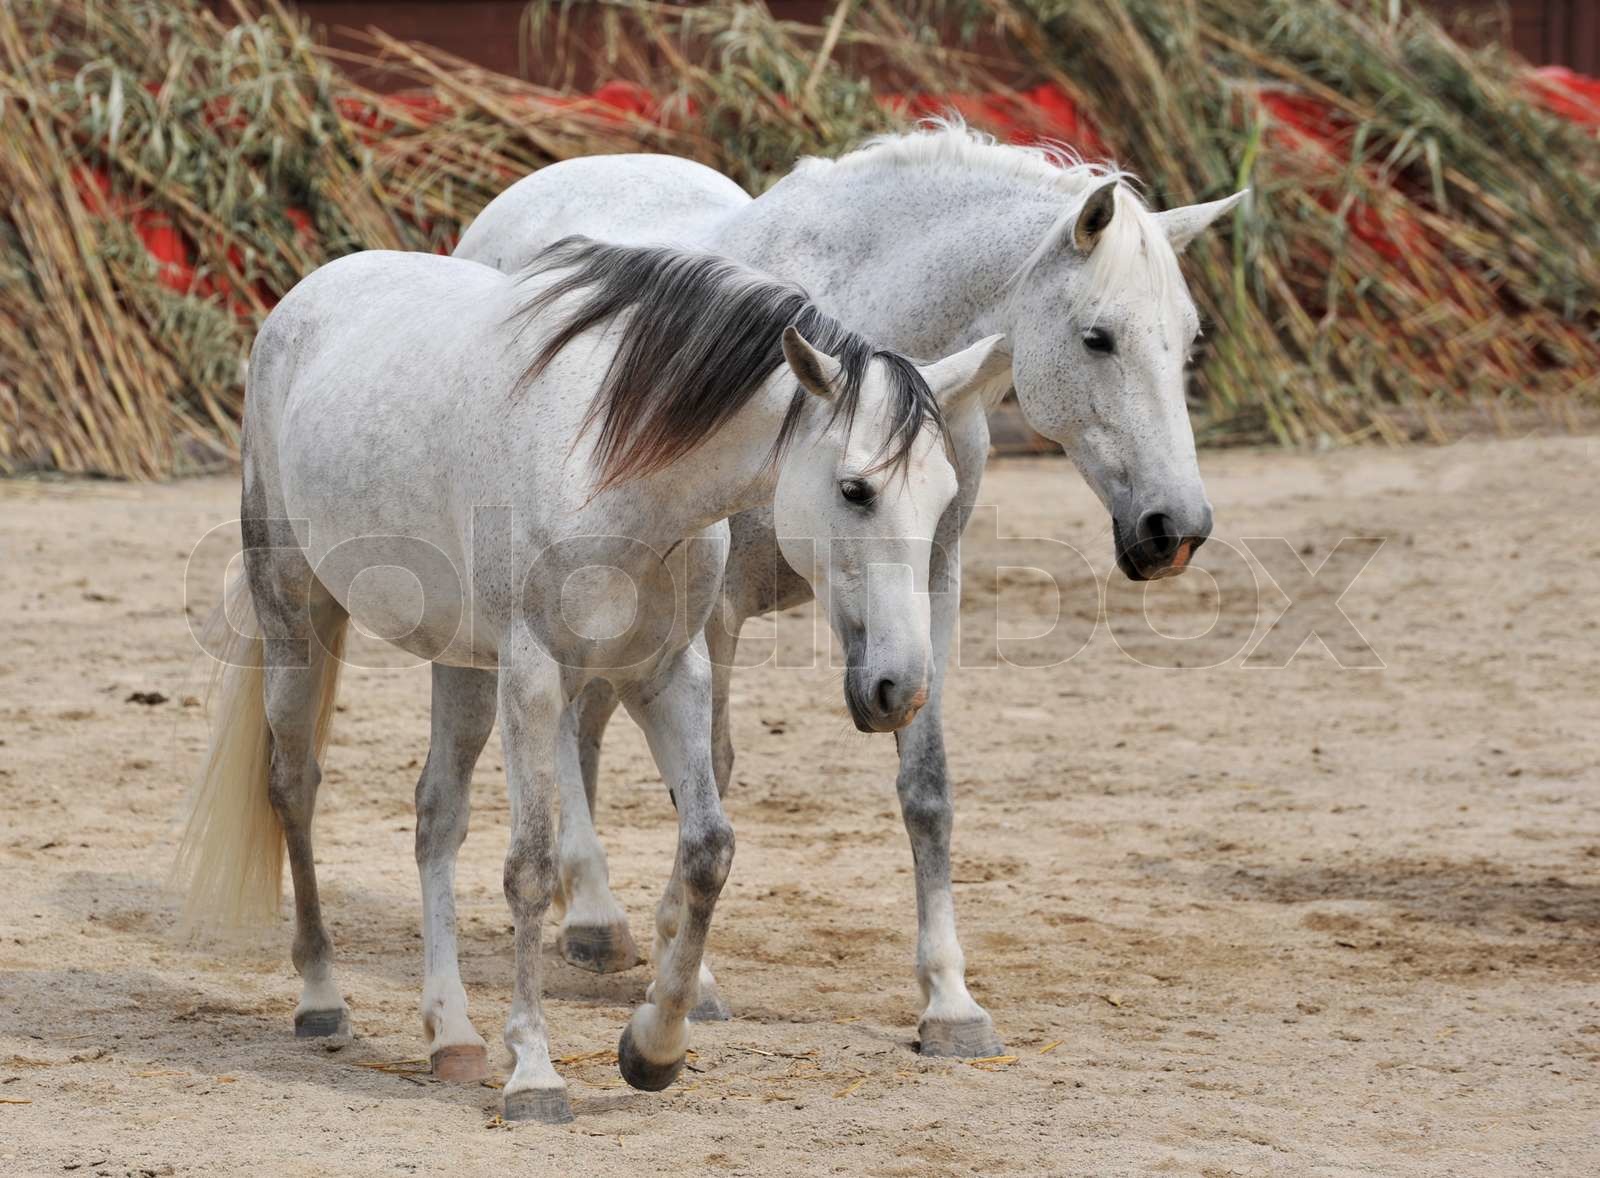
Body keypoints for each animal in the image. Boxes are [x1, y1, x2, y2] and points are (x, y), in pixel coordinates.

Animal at [174, 235, 1010, 1123]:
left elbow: (708, 848)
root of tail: (303, 299)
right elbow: (532, 868)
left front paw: (653, 1048)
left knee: (436, 818)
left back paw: (452, 1034)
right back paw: (323, 997)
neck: (617, 475)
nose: (901, 689)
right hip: (297, 617)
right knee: (293, 787)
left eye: (945, 499)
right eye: (856, 489)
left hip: (461, 668)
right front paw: (536, 1076)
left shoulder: (670, 676)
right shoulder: (534, 678)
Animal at [453, 121, 1248, 1056]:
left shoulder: (932, 586)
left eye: (1187, 341)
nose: (1176, 528)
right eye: (1098, 338)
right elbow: (705, 777)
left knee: (583, 725)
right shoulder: (714, 615)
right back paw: (596, 920)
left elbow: (926, 790)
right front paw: (690, 979)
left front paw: (949, 1000)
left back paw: (594, 916)